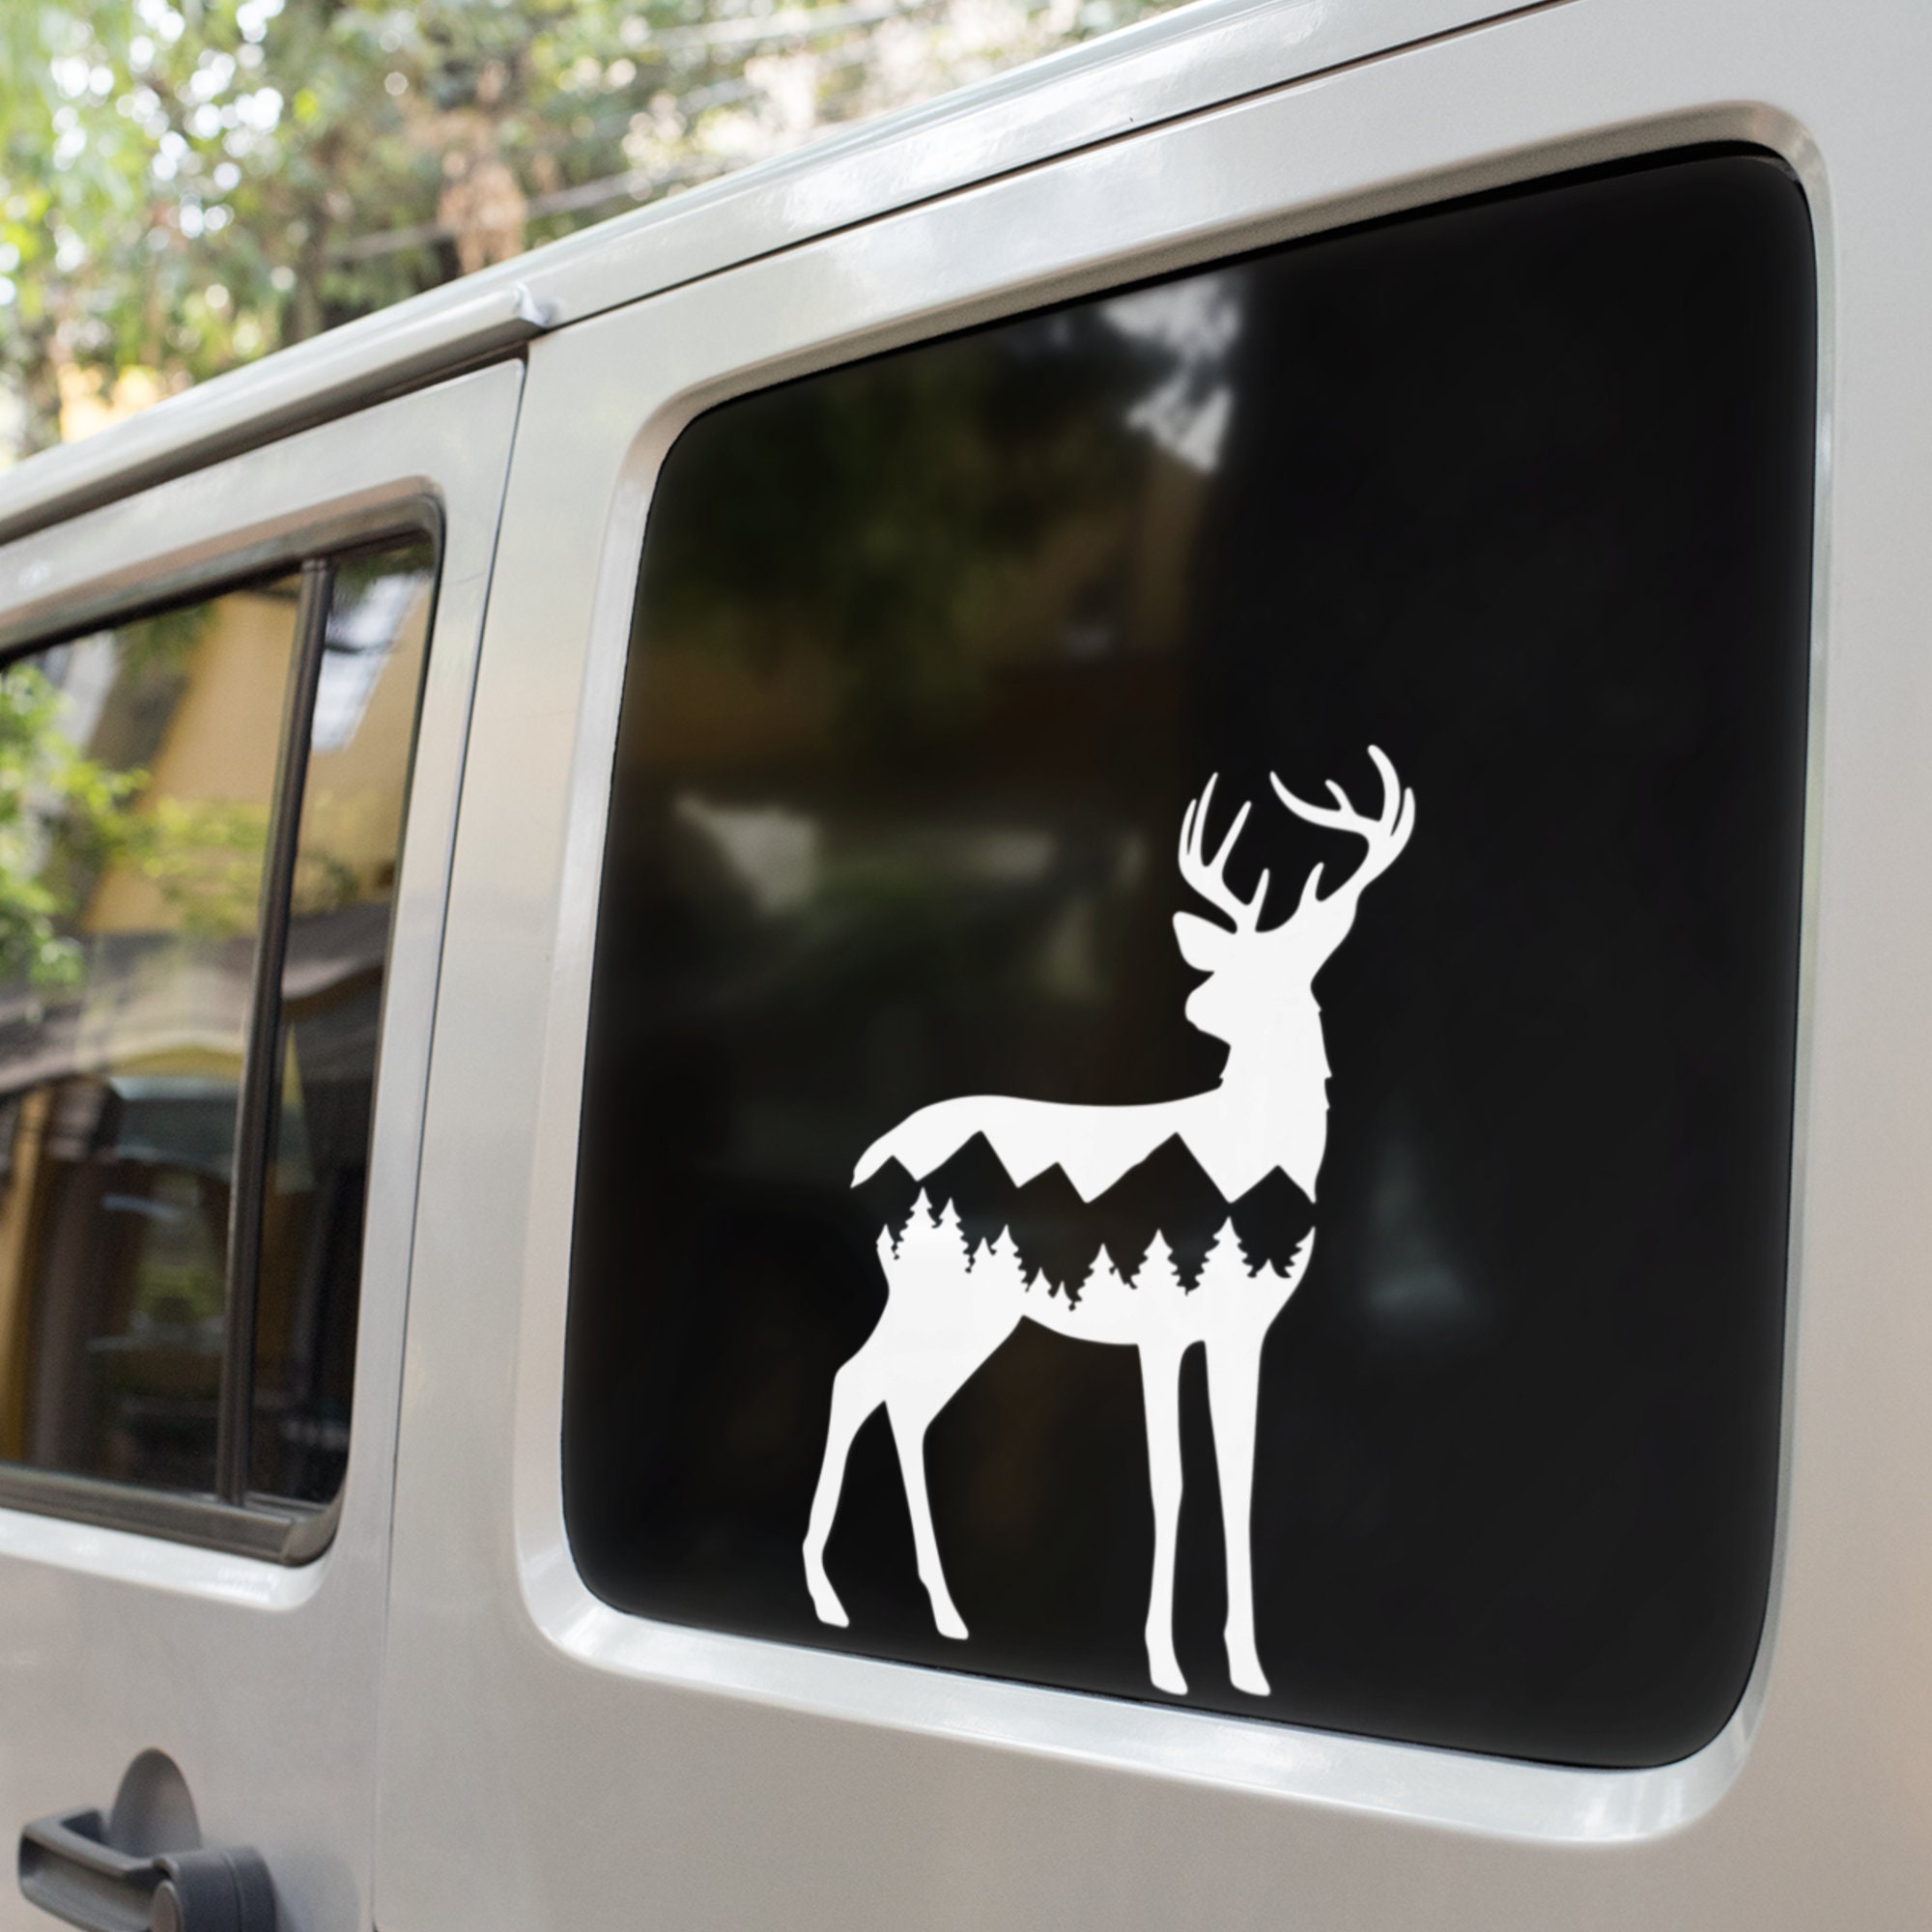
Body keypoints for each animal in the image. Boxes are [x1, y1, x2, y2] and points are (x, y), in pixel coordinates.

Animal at [803, 747, 1415, 1698]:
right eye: (1226, 957)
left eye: (1285, 965)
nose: (1199, 1004)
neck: (1250, 1164)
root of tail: (877, 1155)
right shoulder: (1160, 1311)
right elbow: (1172, 1480)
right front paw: (1166, 1663)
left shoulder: (1245, 1329)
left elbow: (1238, 1481)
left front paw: (1247, 1670)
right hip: (934, 1289)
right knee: (855, 1382)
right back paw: (835, 1596)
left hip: (973, 1314)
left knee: (904, 1404)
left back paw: (943, 1613)